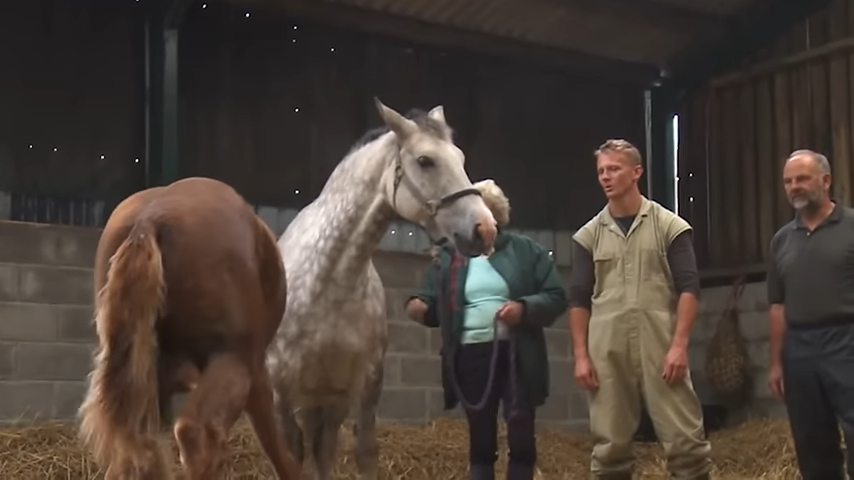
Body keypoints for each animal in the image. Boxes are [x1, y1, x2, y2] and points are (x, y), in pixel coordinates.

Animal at [265, 98, 498, 480]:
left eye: (460, 158)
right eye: (425, 160)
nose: (485, 228)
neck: (332, 281)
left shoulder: (365, 383)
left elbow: (365, 452)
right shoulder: (281, 388)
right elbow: (291, 456)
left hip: (327, 401)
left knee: (323, 449)